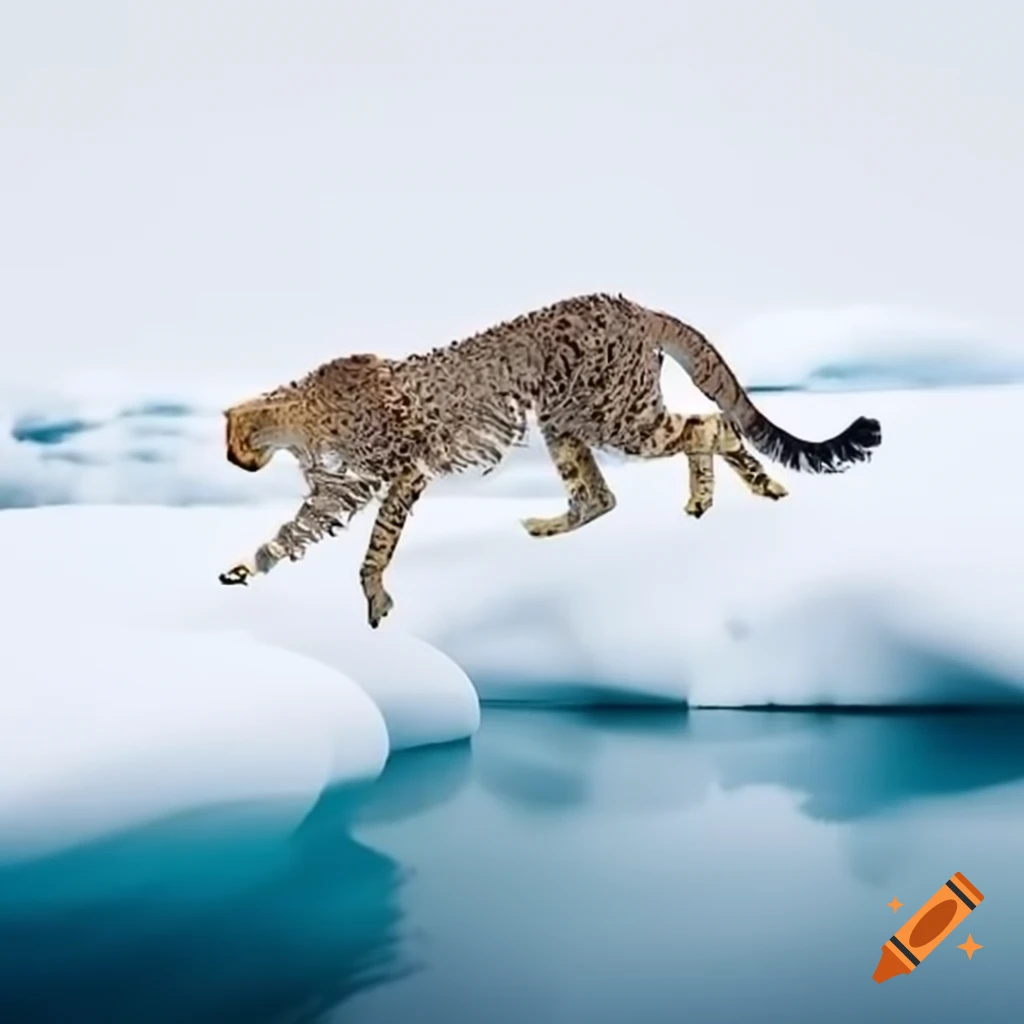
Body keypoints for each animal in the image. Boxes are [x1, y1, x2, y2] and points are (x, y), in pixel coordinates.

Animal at [219, 293, 881, 627]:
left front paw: (374, 595)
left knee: (709, 425)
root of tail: (634, 305)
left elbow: (375, 546)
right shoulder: (340, 490)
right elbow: (292, 533)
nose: (234, 464)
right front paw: (246, 568)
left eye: (232, 444)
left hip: (618, 414)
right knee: (603, 494)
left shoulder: (402, 474)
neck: (301, 415)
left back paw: (731, 489)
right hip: (566, 420)